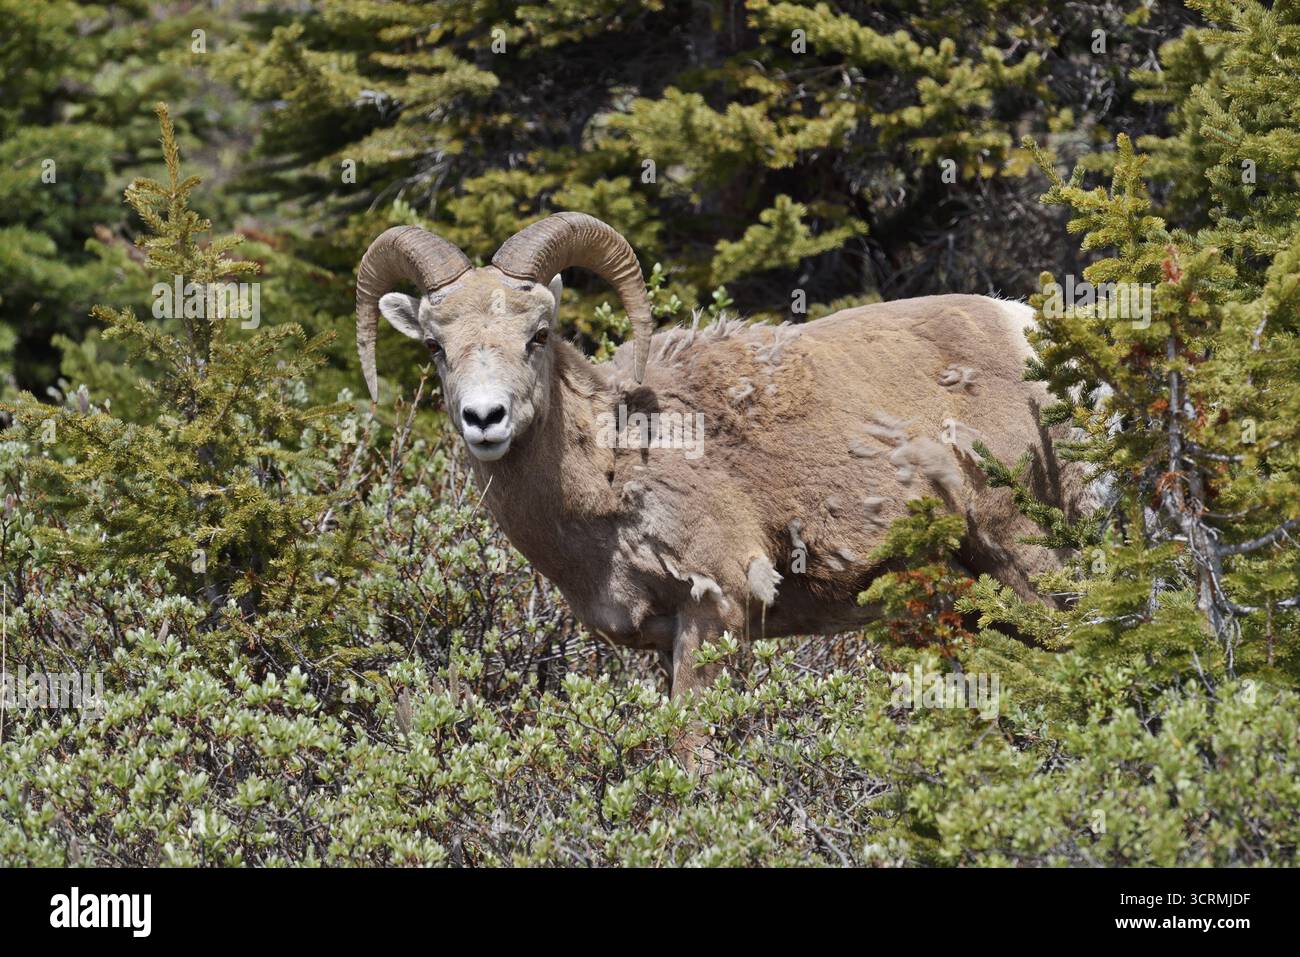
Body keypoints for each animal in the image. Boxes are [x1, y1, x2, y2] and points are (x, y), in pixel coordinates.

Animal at [355, 213, 1093, 700]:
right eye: (436, 348)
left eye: (537, 335)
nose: (486, 419)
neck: (615, 472)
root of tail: (1027, 331)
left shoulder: (716, 609)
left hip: (1024, 551)